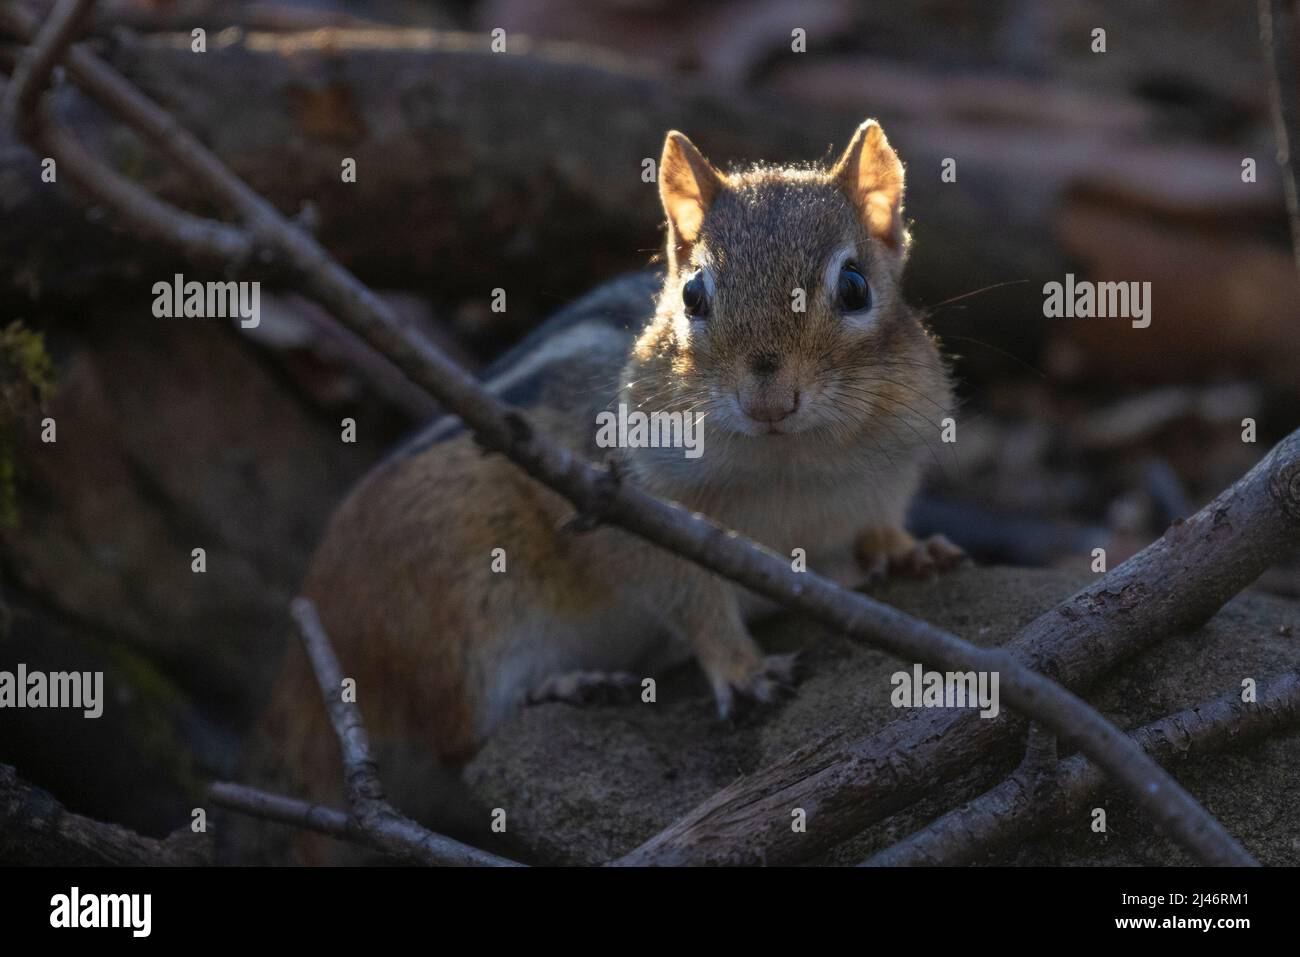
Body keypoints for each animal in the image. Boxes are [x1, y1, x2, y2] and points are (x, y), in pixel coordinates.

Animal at [254, 119, 960, 846]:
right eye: (693, 295)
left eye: (854, 287)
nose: (769, 401)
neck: (791, 468)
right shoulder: (631, 509)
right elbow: (689, 594)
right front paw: (742, 667)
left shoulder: (883, 480)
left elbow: (879, 523)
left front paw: (908, 550)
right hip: (456, 609)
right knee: (459, 738)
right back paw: (568, 686)